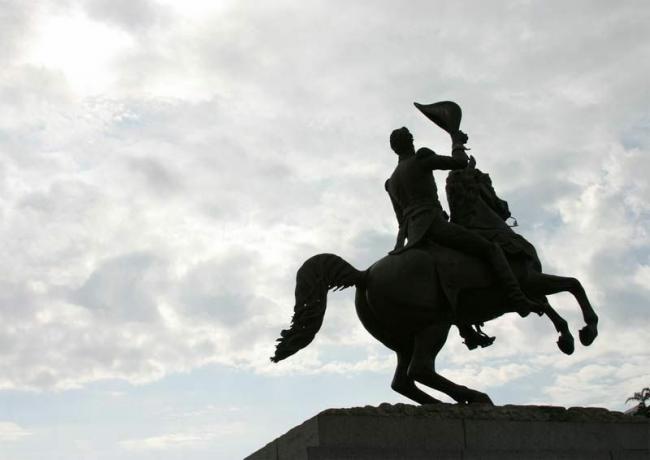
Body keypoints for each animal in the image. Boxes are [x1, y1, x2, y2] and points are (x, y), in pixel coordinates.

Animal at [270, 166, 596, 406]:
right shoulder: (527, 281)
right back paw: (472, 396)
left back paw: (442, 403)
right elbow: (573, 285)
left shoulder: (528, 287)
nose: (504, 206)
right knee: (421, 369)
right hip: (434, 325)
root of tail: (364, 275)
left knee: (403, 379)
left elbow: (552, 303)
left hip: (403, 338)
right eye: (487, 182)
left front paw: (567, 338)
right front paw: (586, 331)